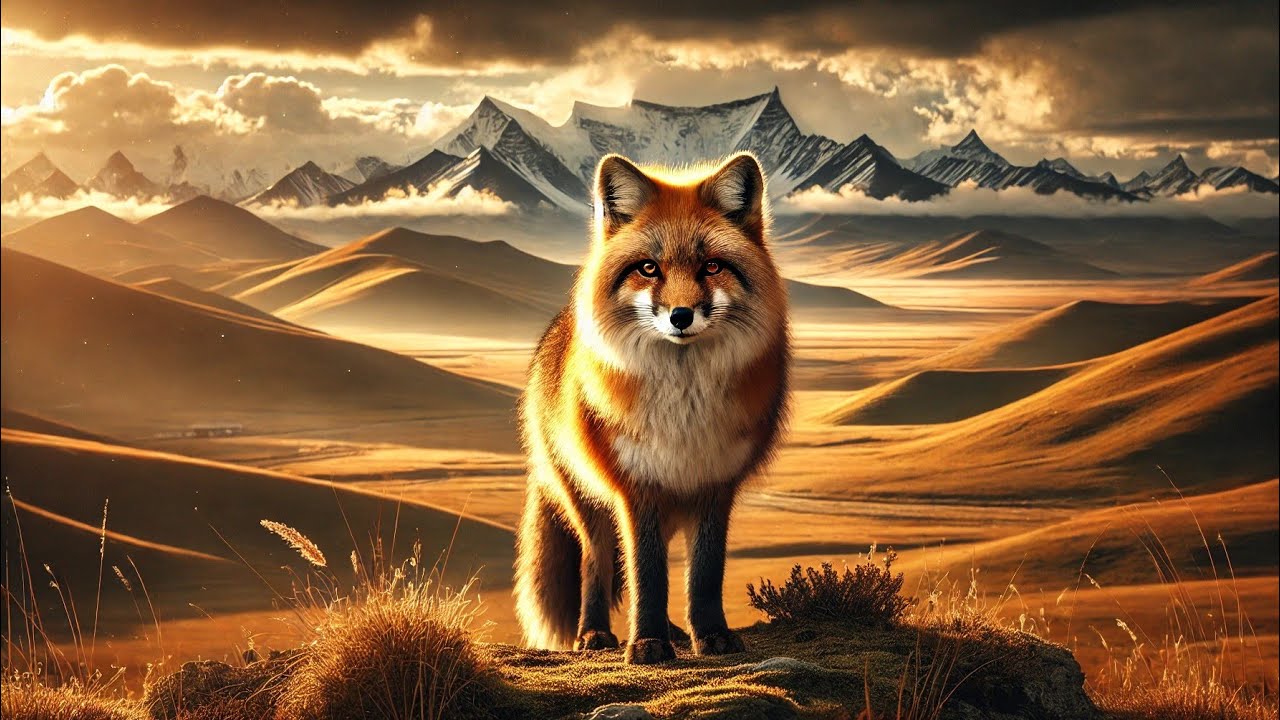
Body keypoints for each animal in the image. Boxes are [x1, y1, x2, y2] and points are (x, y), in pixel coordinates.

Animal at [514, 152, 790, 664]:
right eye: (648, 268)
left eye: (711, 266)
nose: (681, 316)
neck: (683, 409)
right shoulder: (636, 487)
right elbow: (646, 573)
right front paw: (646, 643)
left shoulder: (714, 484)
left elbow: (704, 575)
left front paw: (711, 635)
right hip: (588, 504)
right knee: (596, 564)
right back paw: (595, 634)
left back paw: (675, 632)